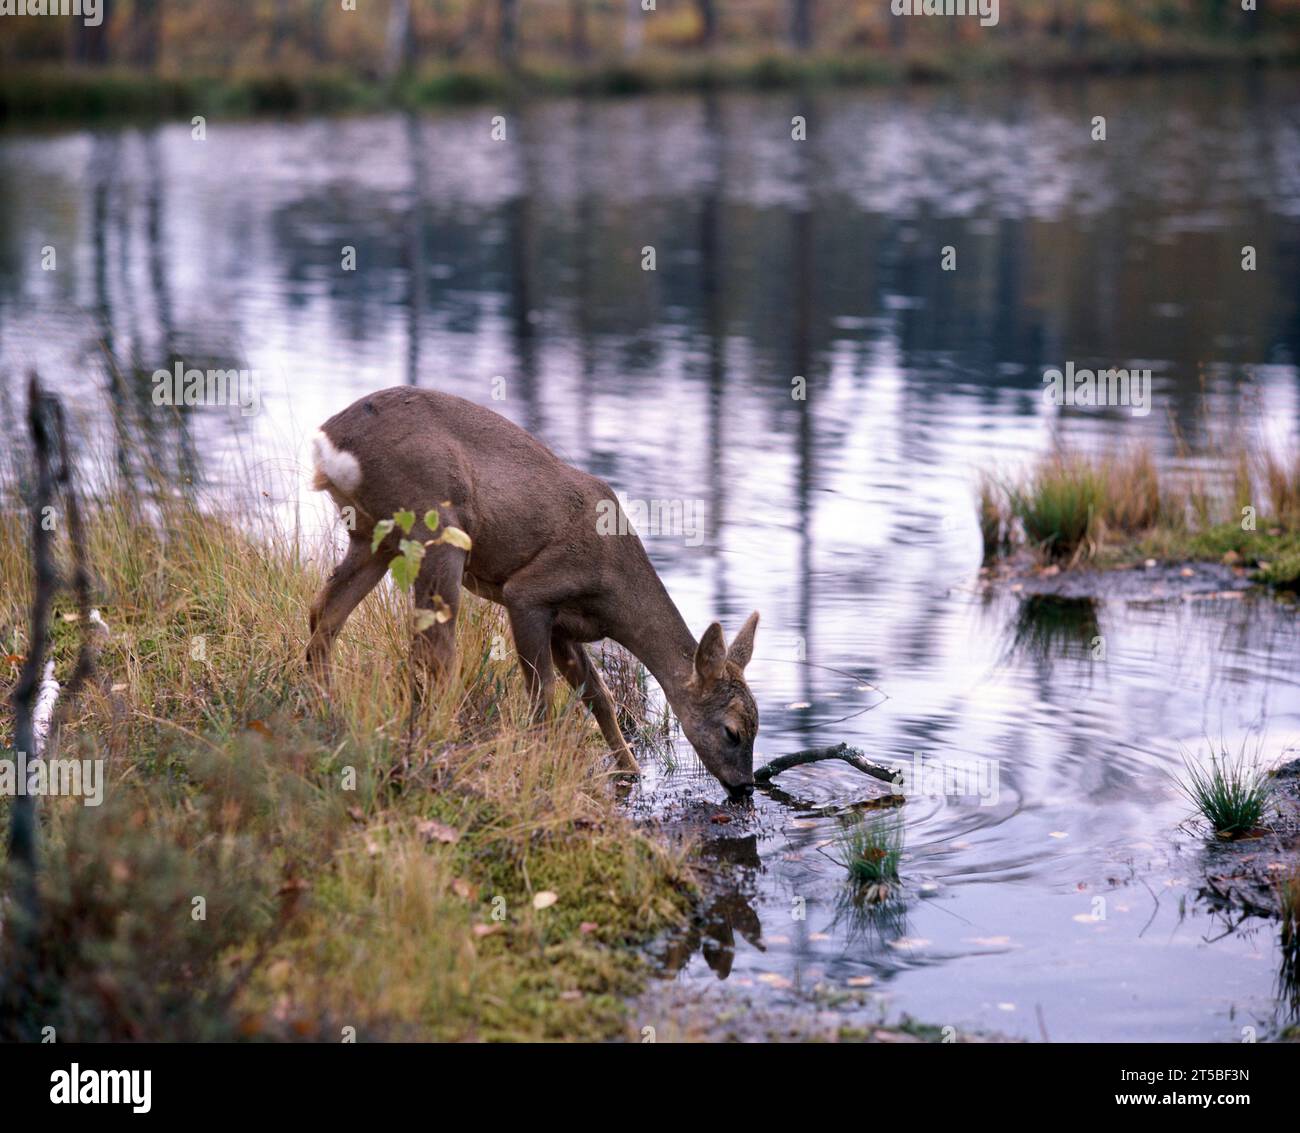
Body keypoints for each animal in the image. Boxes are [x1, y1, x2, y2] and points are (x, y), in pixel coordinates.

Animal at [306, 387, 761, 801]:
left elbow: (598, 695)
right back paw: (440, 737)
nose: (744, 787)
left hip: (372, 536)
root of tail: (332, 442)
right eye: (733, 731)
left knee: (324, 615)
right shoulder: (529, 592)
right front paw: (540, 764)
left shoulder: (564, 626)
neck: (614, 593)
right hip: (435, 527)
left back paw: (327, 707)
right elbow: (543, 694)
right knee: (436, 648)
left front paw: (630, 770)